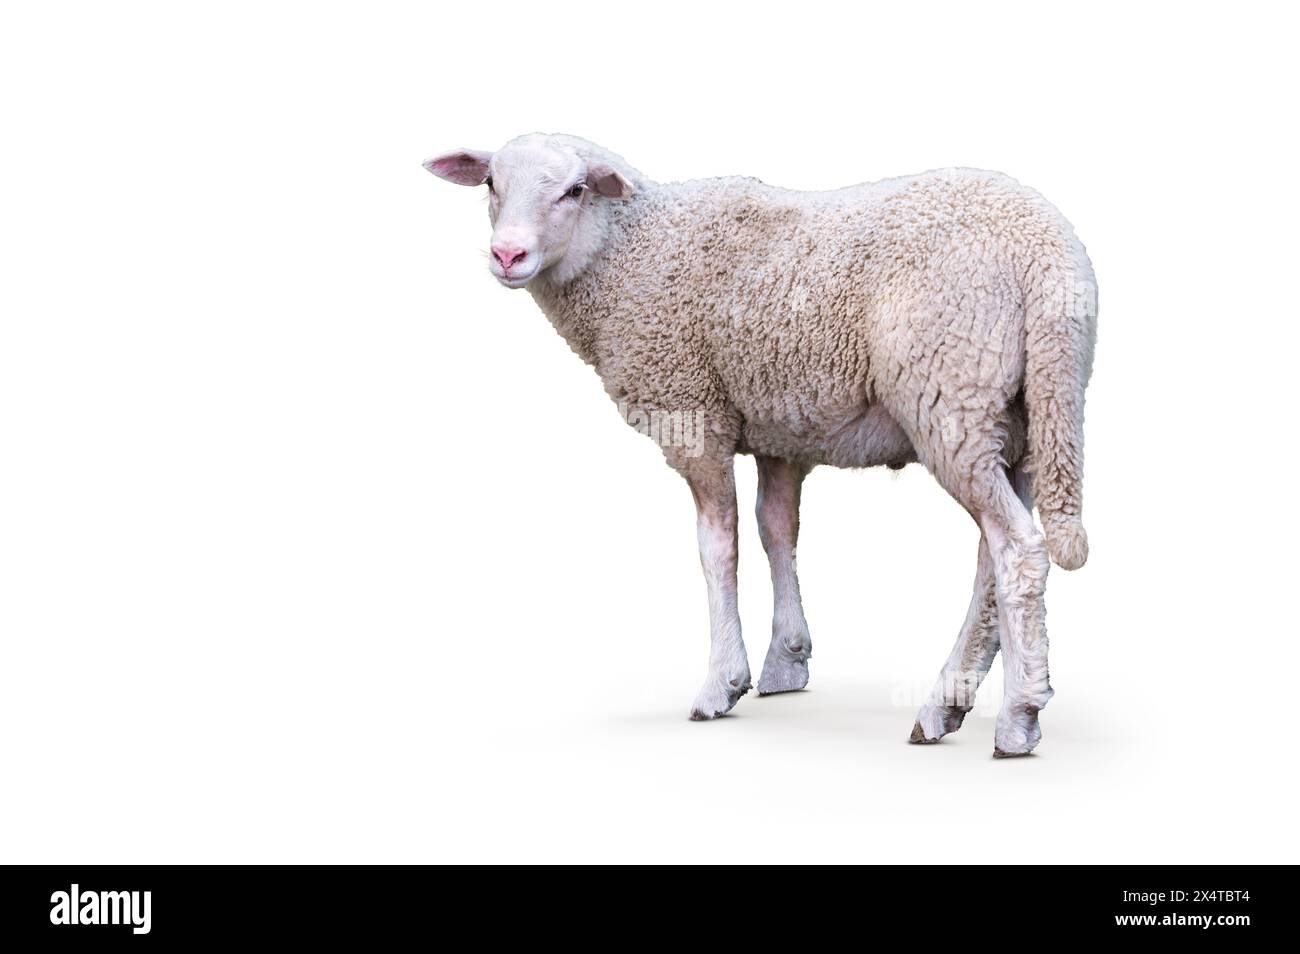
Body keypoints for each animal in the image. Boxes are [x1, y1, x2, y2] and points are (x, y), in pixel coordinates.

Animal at [423, 133, 1096, 757]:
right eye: (491, 184)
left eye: (574, 189)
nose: (507, 254)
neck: (629, 252)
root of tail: (1049, 260)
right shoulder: (782, 423)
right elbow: (777, 528)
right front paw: (787, 660)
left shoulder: (694, 412)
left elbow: (718, 547)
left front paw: (722, 682)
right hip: (1024, 419)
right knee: (994, 558)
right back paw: (946, 705)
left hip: (953, 392)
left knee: (1018, 551)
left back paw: (1017, 718)